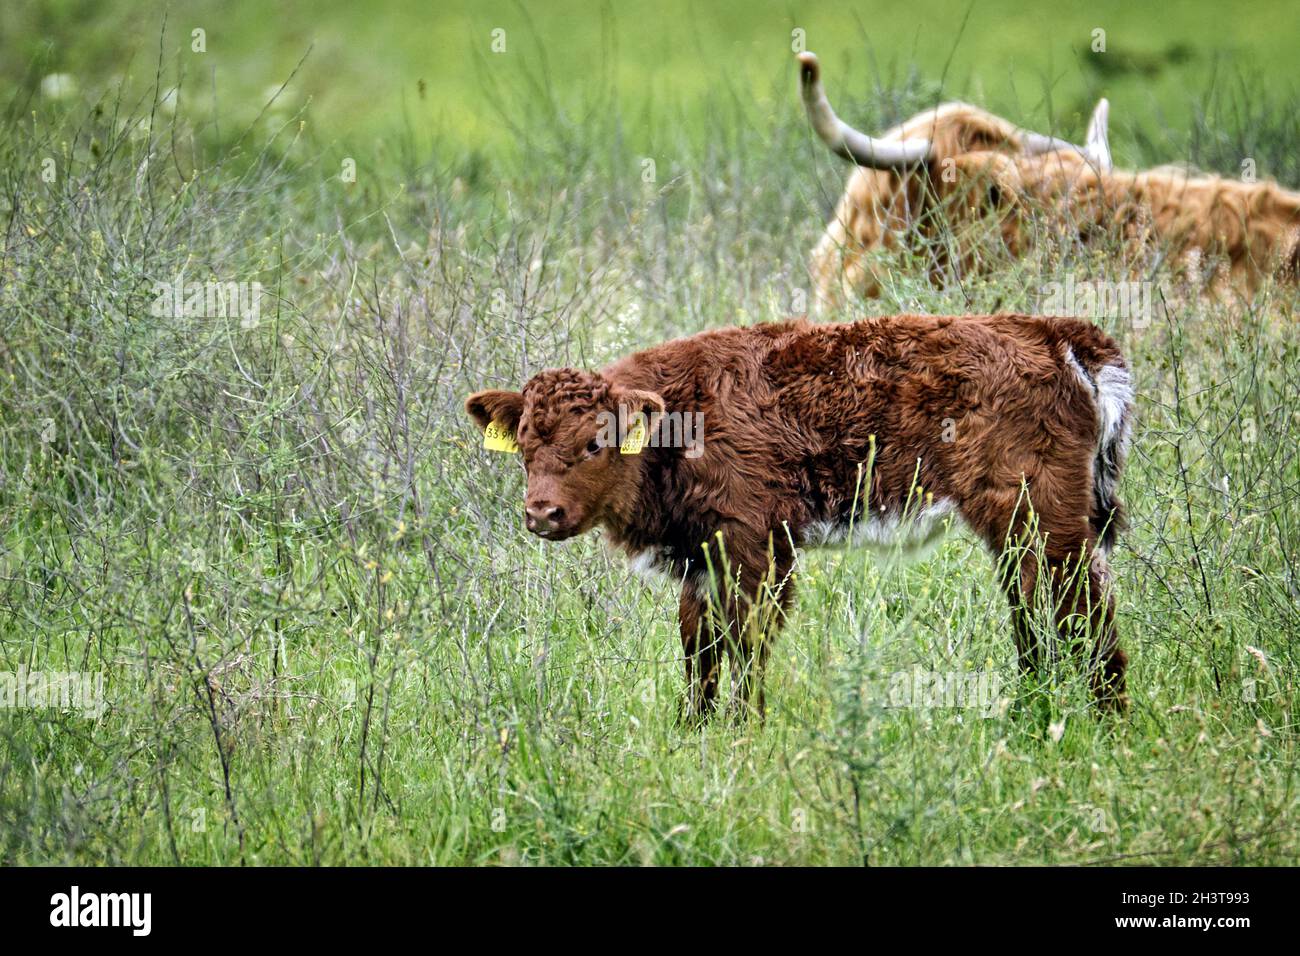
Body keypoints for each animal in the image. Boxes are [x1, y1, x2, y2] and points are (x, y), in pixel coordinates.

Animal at [466, 313, 1134, 722]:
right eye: (524, 445)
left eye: (594, 444)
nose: (542, 513)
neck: (678, 418)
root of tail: (1056, 333)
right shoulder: (703, 558)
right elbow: (699, 646)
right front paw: (696, 729)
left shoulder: (755, 547)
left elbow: (746, 640)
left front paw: (747, 729)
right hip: (1023, 528)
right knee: (1034, 607)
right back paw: (1033, 707)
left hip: (1043, 518)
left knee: (1080, 607)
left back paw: (1106, 723)